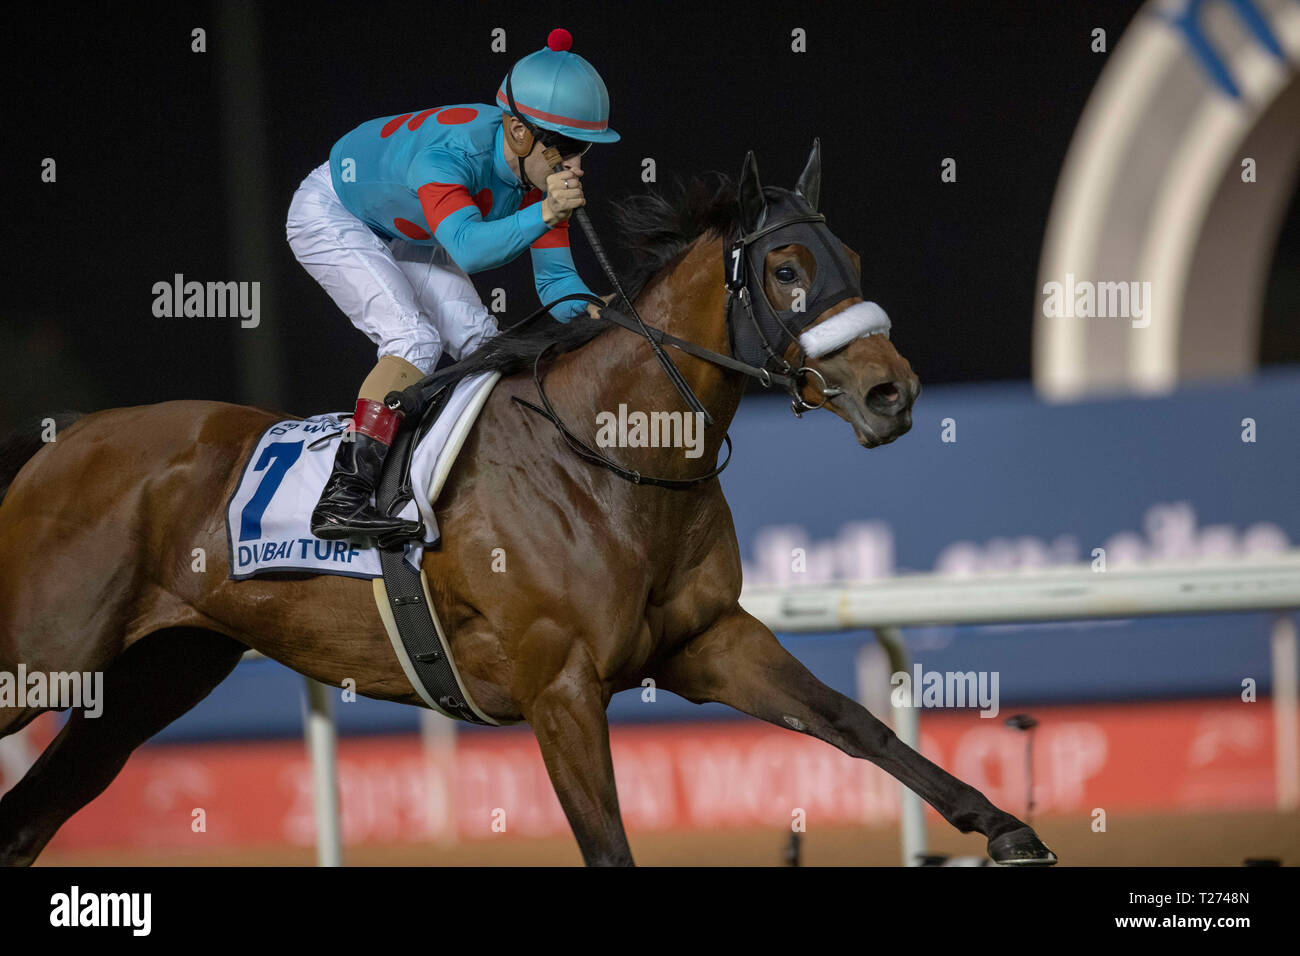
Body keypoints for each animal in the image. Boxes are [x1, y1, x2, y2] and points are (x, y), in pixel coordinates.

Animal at [0, 143, 1056, 866]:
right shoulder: (559, 685)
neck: (613, 457)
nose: (892, 393)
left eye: (853, 258)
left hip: (148, 679)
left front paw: (1003, 826)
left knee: (25, 821)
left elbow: (853, 722)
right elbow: (609, 844)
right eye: (785, 268)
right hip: (41, 658)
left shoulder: (706, 640)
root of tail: (60, 439)